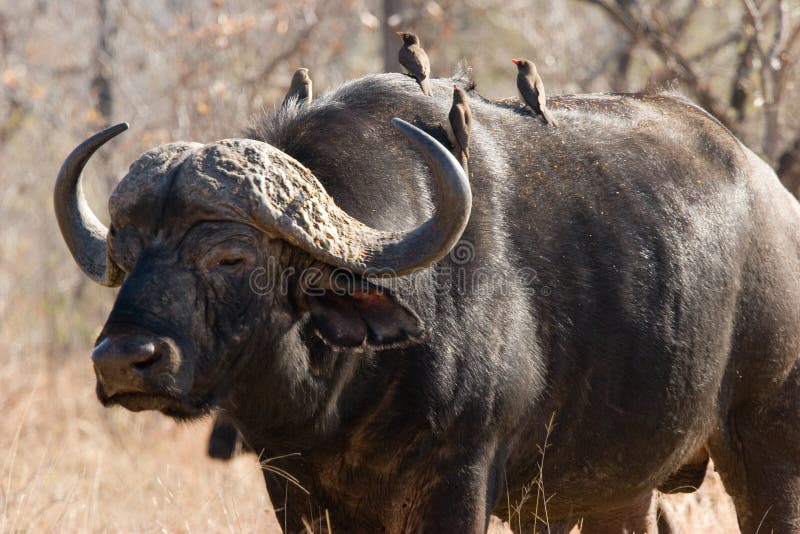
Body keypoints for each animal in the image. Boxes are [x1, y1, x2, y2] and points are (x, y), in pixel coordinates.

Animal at [55, 69, 800, 533]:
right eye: (126, 256)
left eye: (230, 258)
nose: (121, 360)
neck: (350, 398)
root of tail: (777, 199)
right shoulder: (293, 489)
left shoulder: (457, 482)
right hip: (619, 488)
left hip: (767, 447)